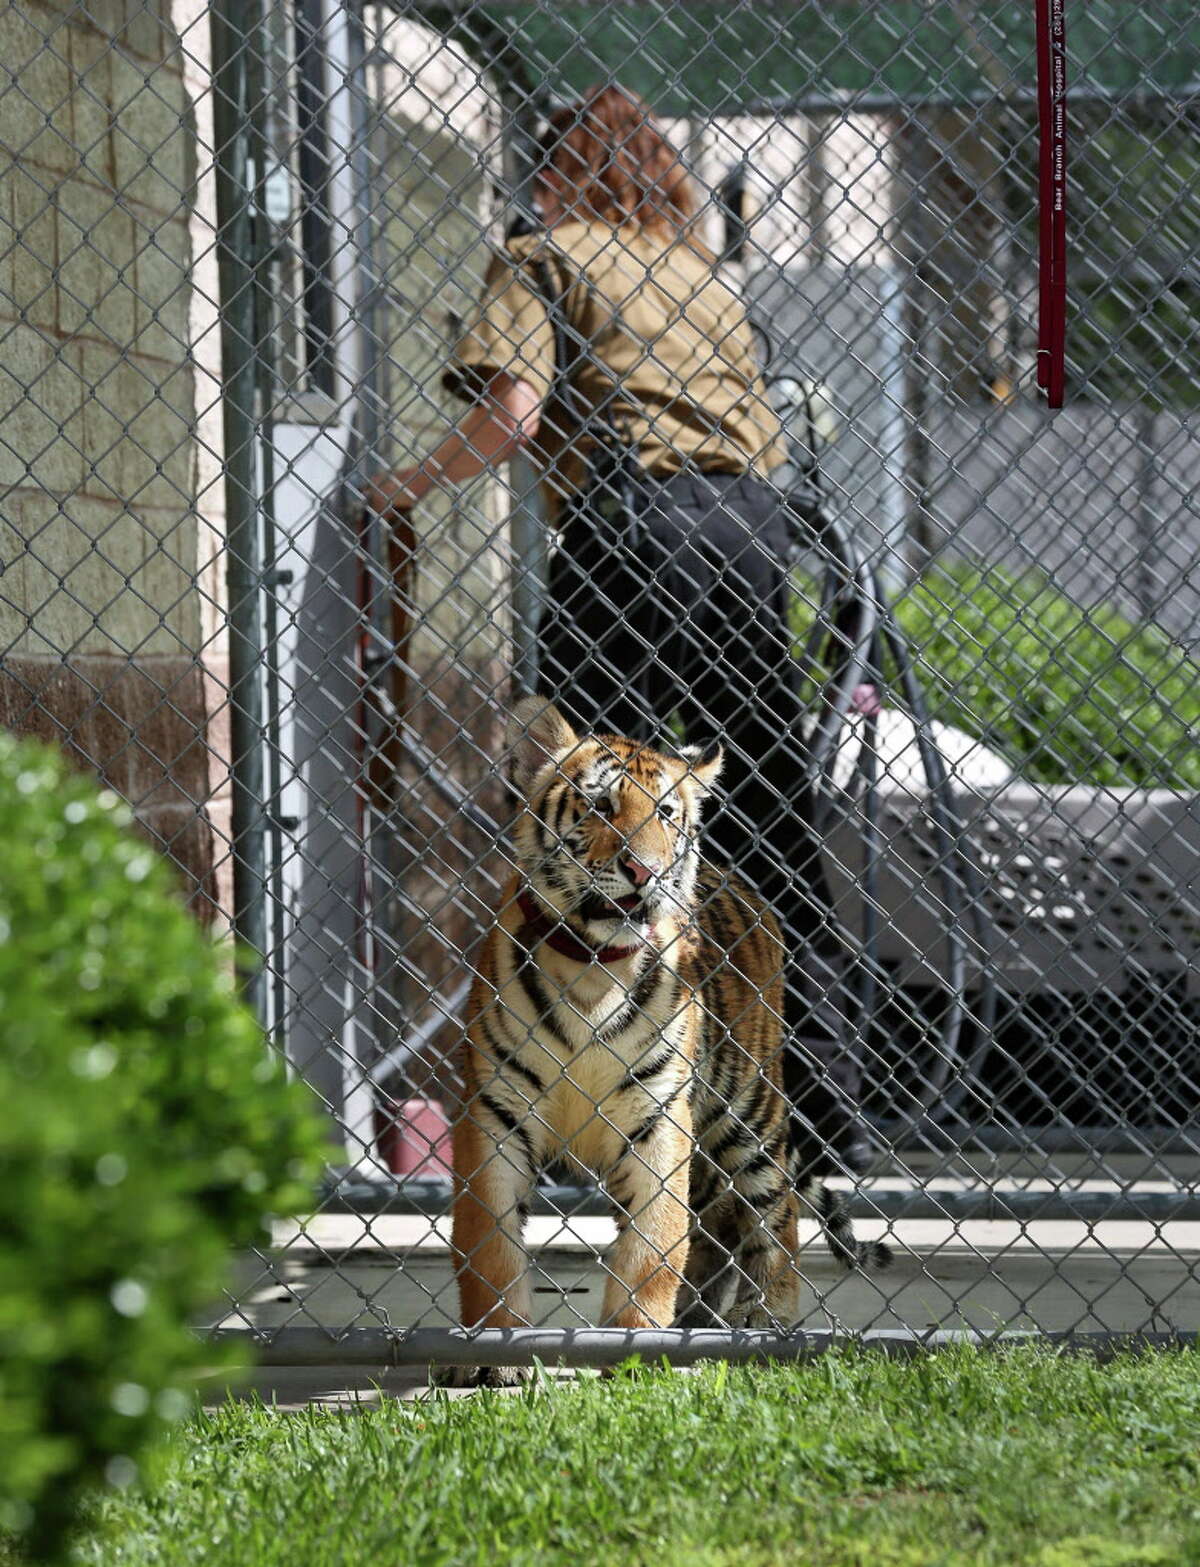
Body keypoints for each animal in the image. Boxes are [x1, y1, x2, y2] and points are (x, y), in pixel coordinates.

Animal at [450, 696, 888, 1385]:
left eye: (664, 814)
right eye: (601, 805)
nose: (644, 871)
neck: (593, 971)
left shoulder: (658, 1119)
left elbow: (652, 1245)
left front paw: (635, 1349)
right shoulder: (494, 1114)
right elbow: (491, 1243)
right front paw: (498, 1352)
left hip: (748, 1112)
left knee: (775, 1211)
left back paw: (764, 1318)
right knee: (715, 1225)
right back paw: (698, 1316)